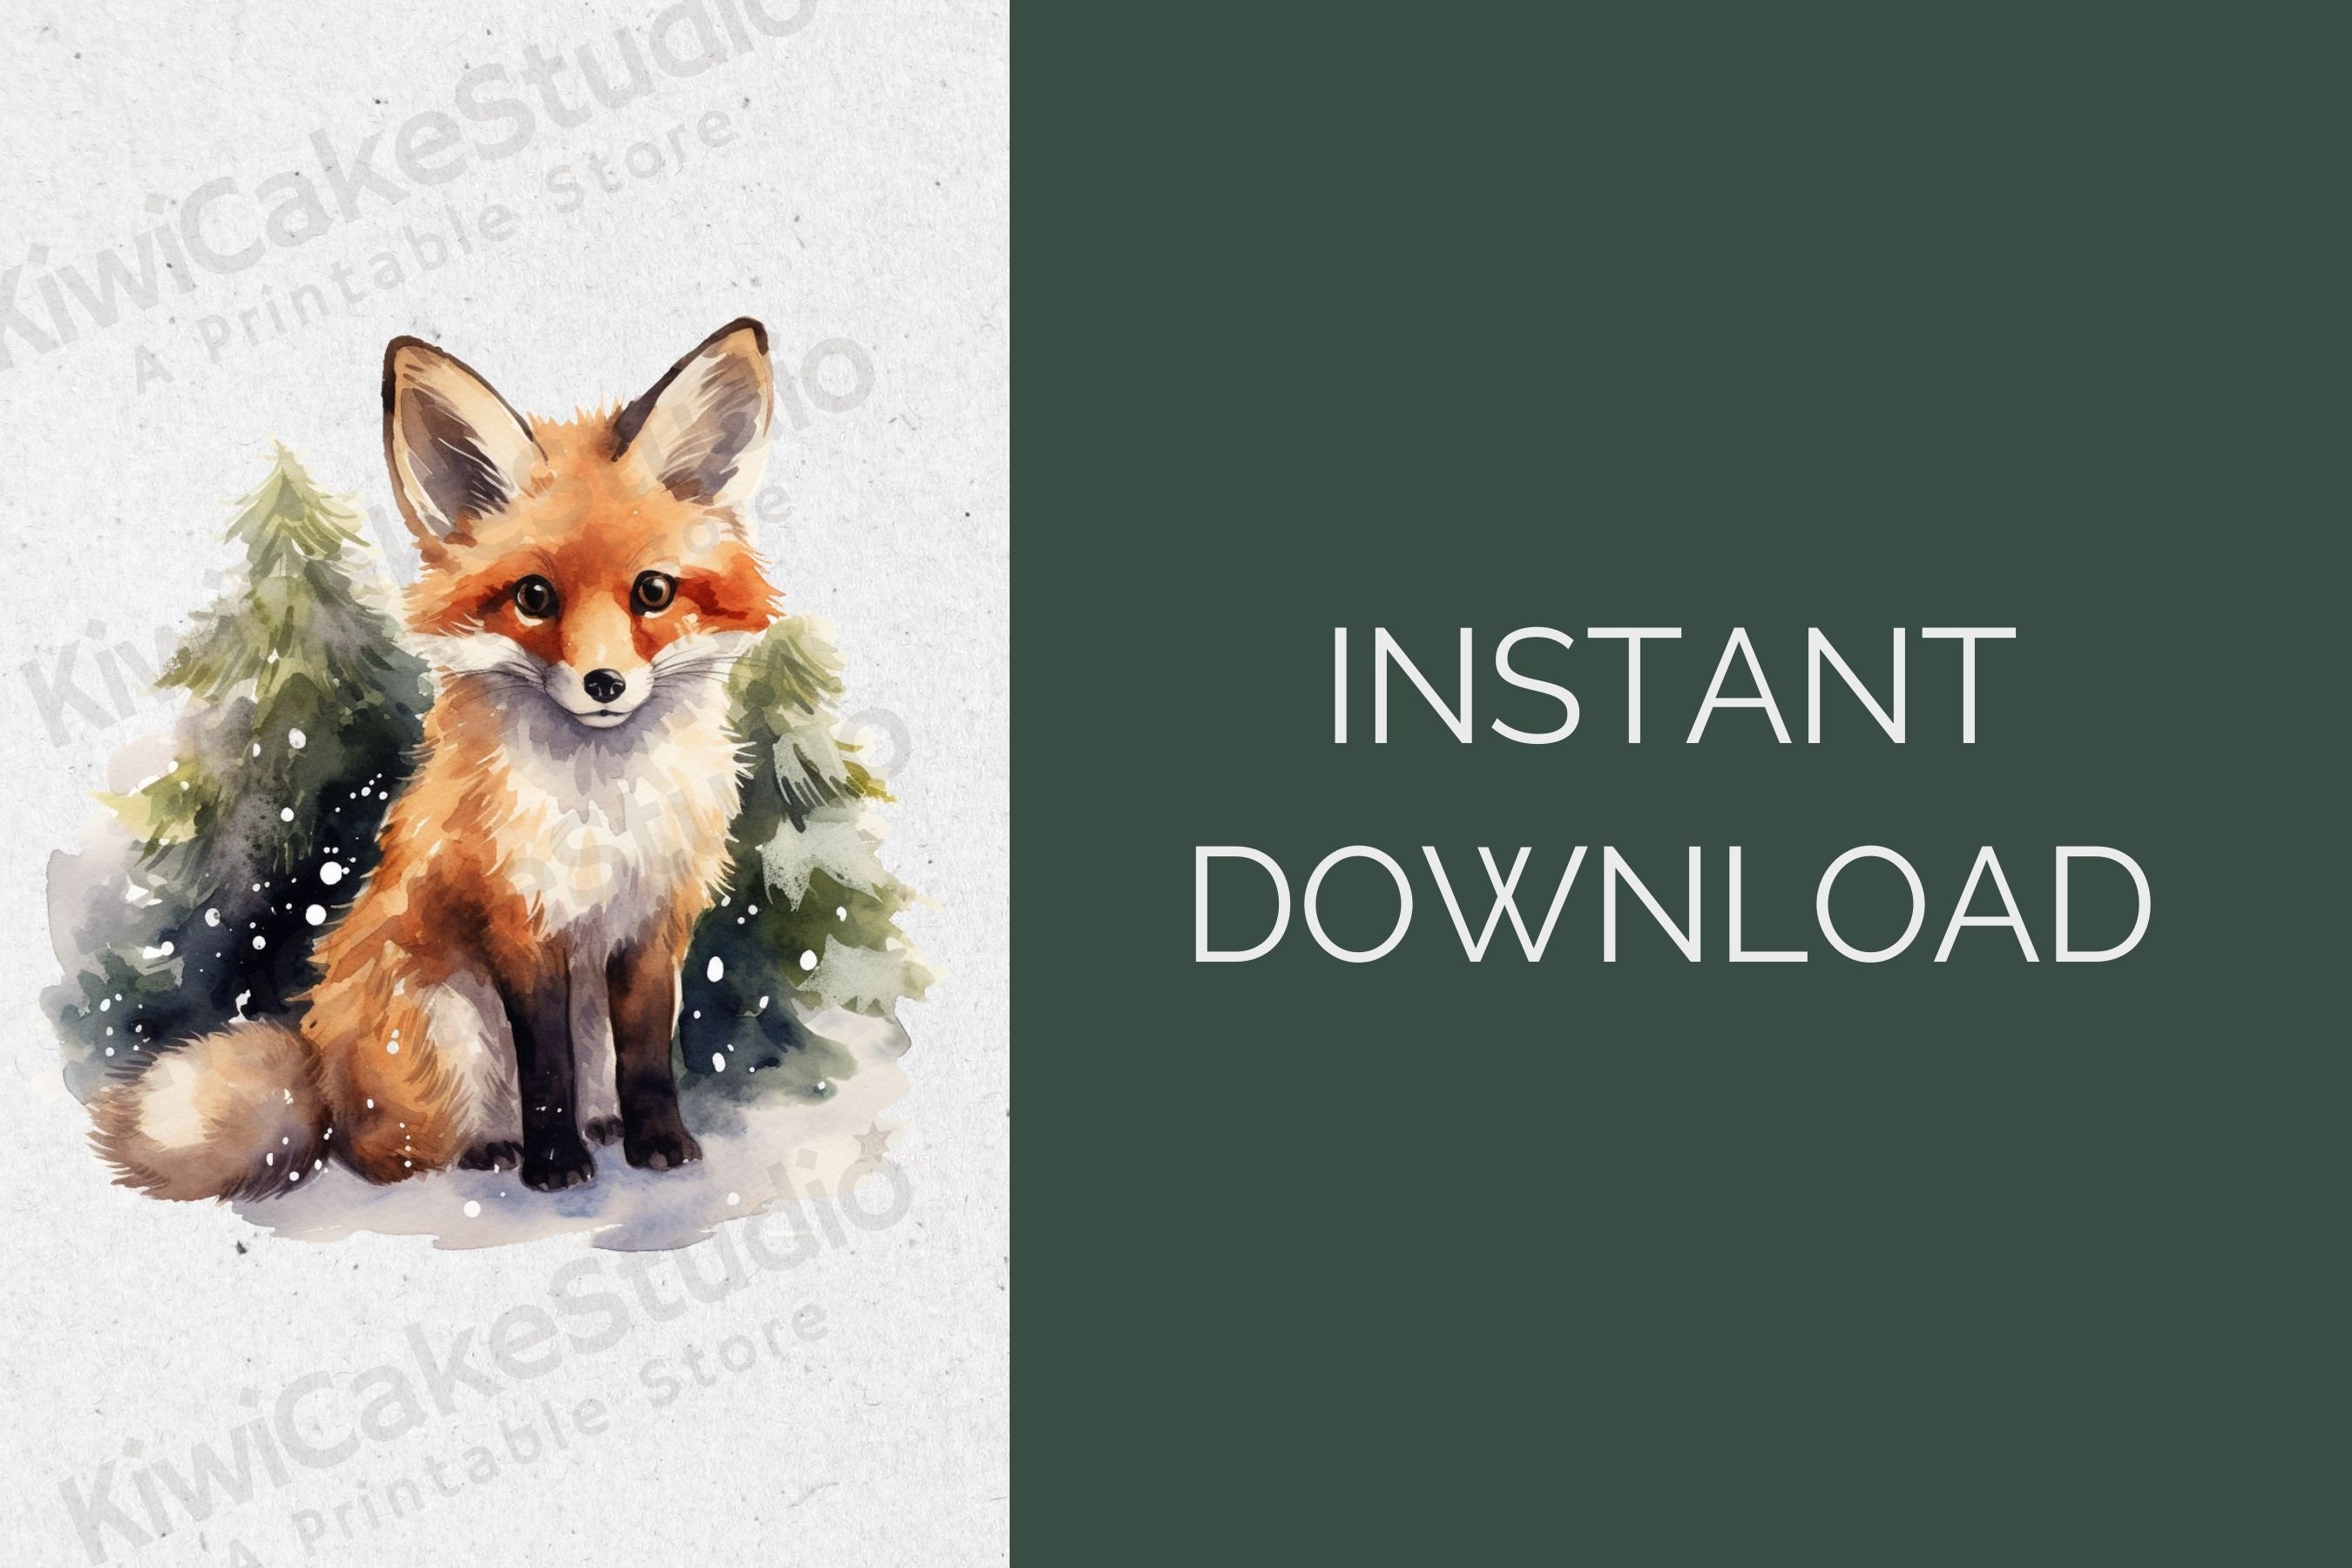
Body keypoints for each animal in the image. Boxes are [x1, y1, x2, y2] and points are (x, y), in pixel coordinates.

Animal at [92, 319, 783, 1198]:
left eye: (653, 593)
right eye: (534, 597)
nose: (605, 684)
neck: (603, 806)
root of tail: (320, 1076)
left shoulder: (655, 919)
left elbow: (647, 1055)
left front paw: (659, 1144)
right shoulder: (518, 919)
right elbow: (546, 1068)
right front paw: (556, 1166)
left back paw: (602, 1126)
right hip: (446, 1023)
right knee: (381, 1153)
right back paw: (495, 1149)